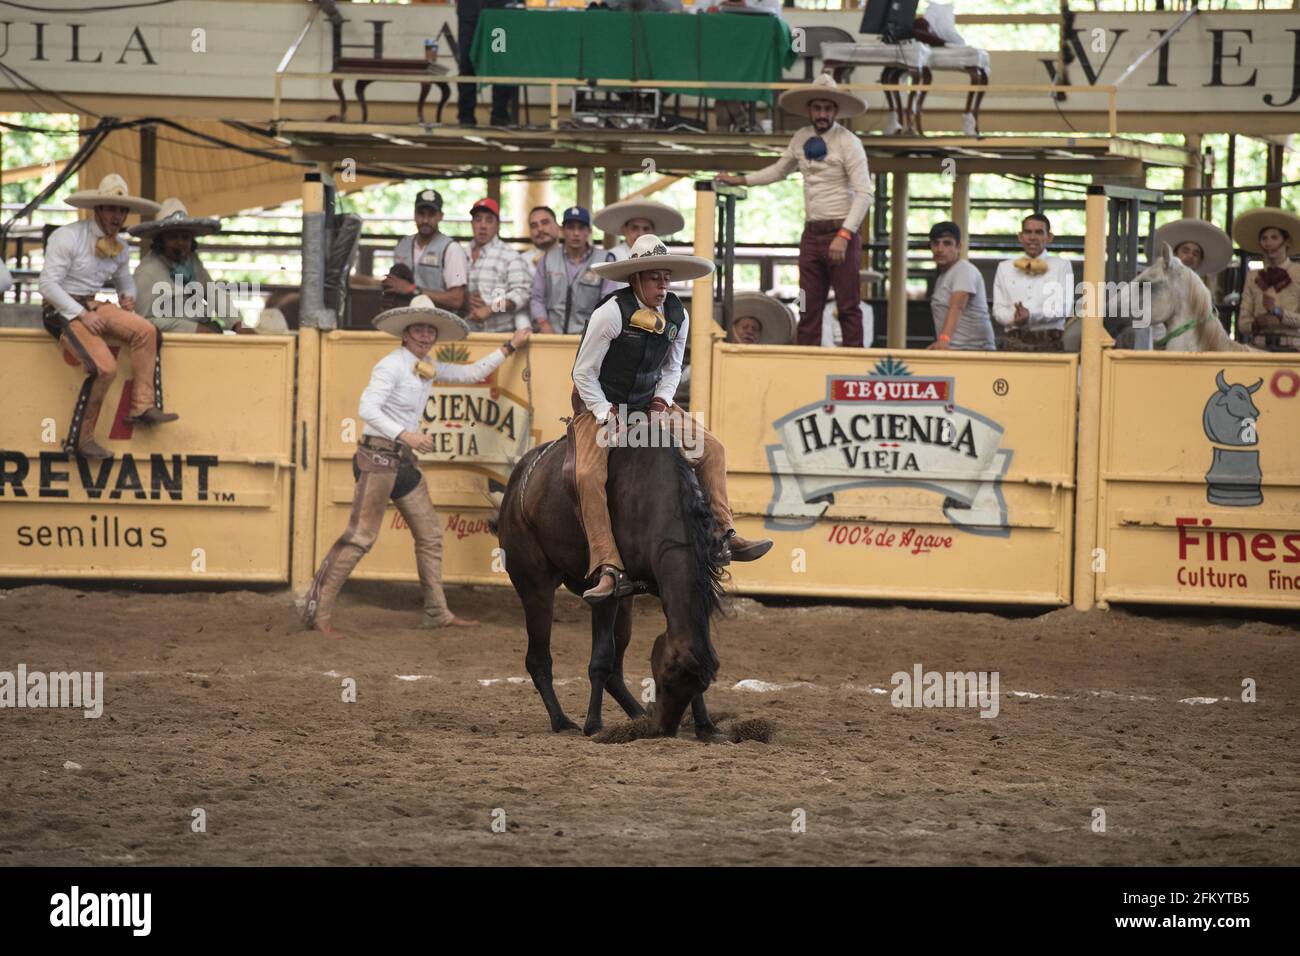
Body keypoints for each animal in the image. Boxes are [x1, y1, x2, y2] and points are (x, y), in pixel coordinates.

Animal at [494, 435, 727, 740]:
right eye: (665, 681)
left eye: (698, 685)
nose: (664, 730)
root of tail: (518, 480)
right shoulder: (605, 595)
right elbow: (601, 659)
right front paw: (594, 724)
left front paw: (707, 727)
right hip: (534, 584)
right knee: (538, 659)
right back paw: (562, 721)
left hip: (625, 603)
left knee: (615, 672)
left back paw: (639, 716)